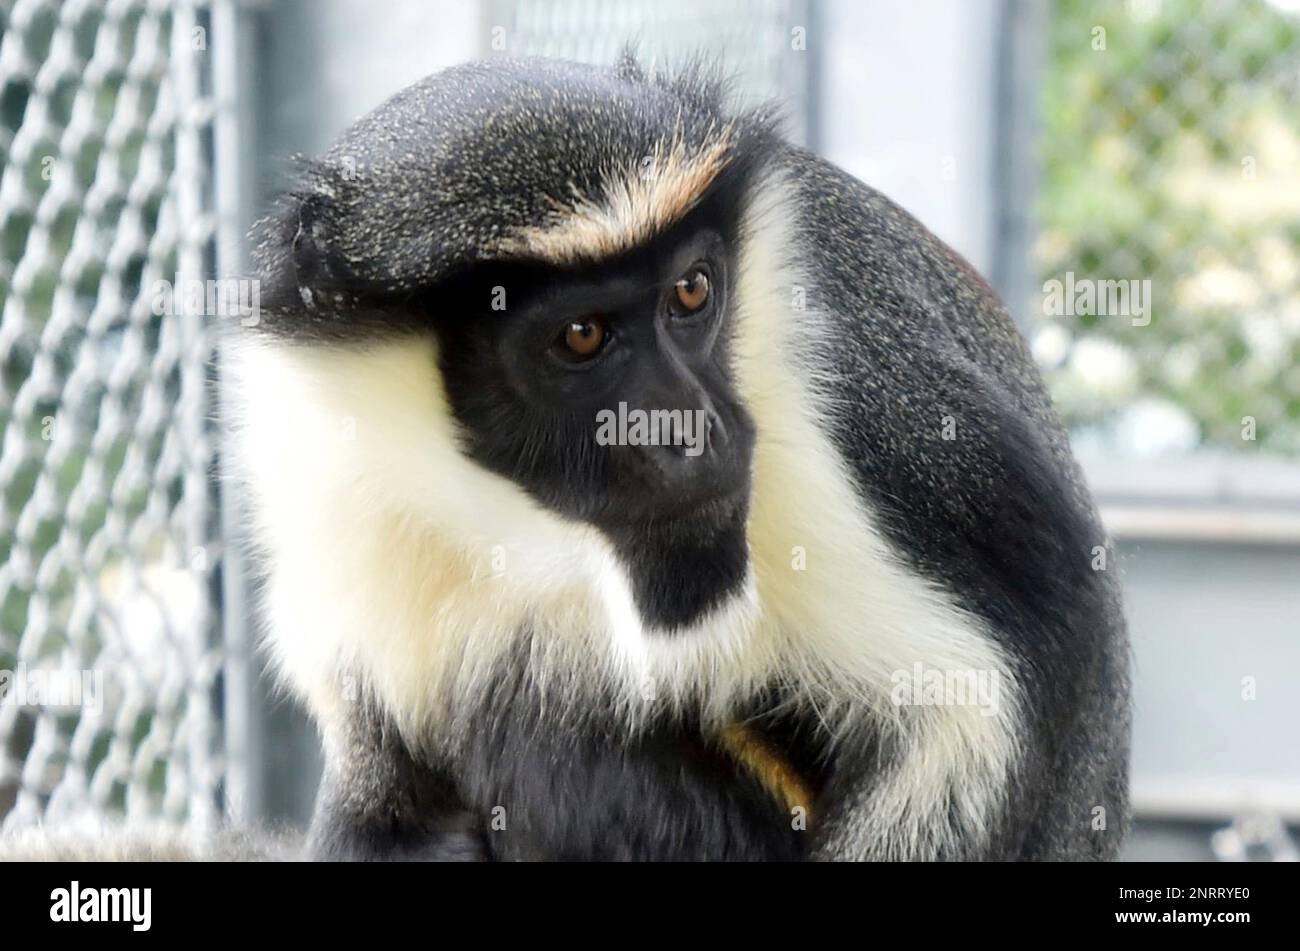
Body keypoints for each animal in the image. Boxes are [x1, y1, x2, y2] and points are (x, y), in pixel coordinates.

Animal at [217, 52, 1131, 862]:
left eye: (691, 291)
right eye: (582, 336)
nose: (692, 427)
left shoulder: (852, 418)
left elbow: (1000, 685)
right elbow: (381, 805)